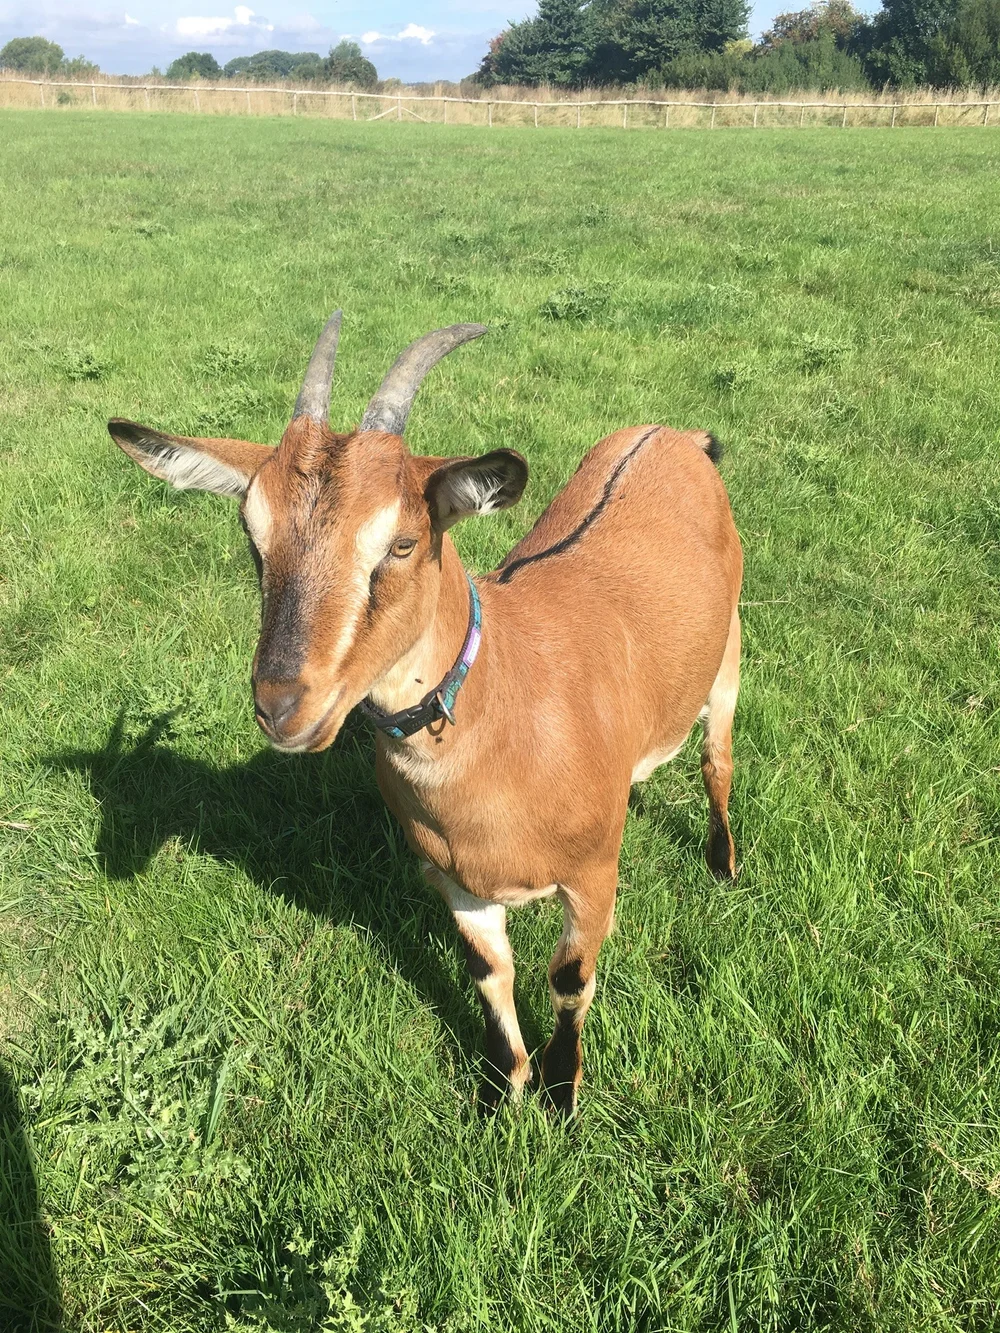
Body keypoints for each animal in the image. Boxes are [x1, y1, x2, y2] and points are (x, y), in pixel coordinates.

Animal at [109, 312, 743, 1115]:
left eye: (402, 542)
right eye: (254, 540)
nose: (282, 704)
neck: (507, 701)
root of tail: (675, 435)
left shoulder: (594, 872)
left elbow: (569, 979)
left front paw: (563, 1097)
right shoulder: (454, 881)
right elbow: (488, 972)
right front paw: (504, 1089)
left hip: (729, 656)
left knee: (717, 756)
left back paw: (723, 863)